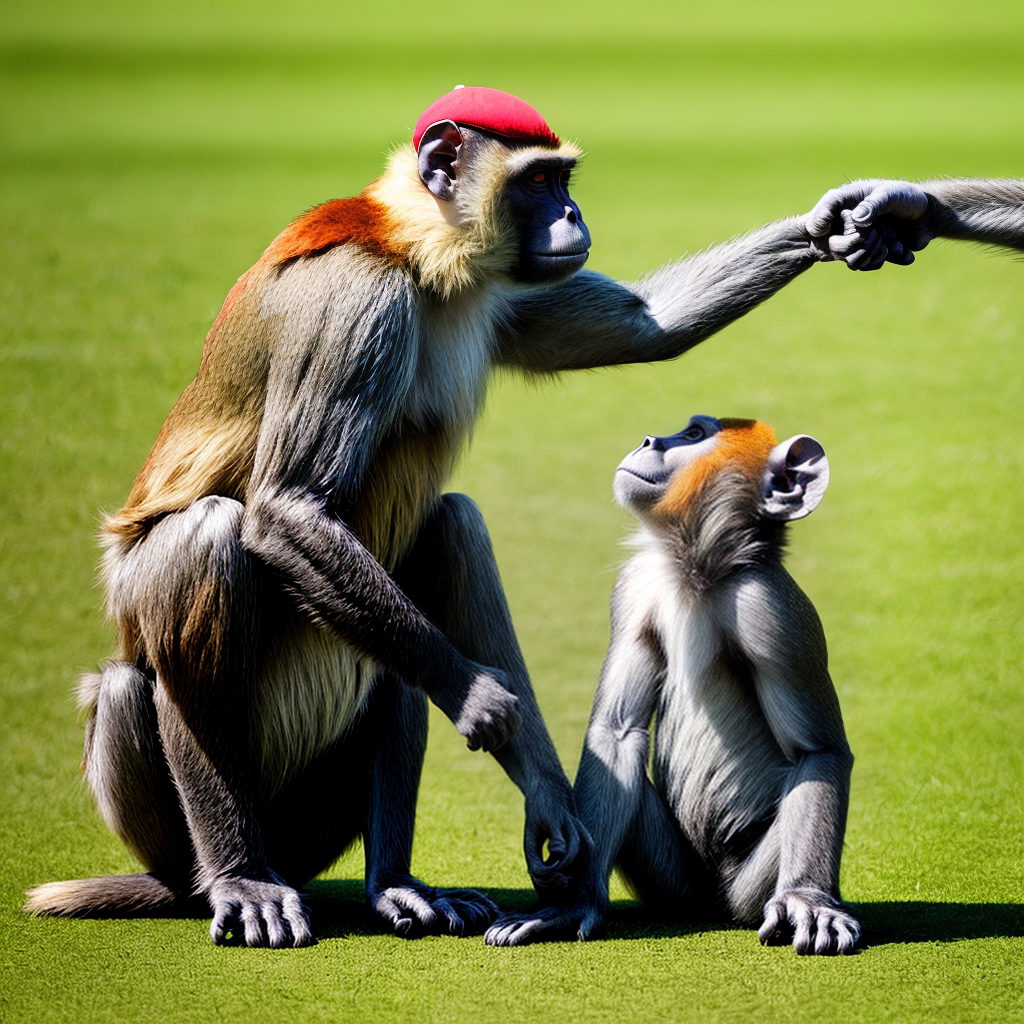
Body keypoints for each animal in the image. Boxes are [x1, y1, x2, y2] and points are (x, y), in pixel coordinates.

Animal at [485, 415, 858, 955]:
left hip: (750, 887)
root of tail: (716, 905)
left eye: (695, 433)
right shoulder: (635, 587)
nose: (649, 440)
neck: (696, 572)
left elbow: (817, 753)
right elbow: (616, 731)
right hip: (678, 882)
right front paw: (571, 904)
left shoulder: (774, 613)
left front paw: (808, 899)